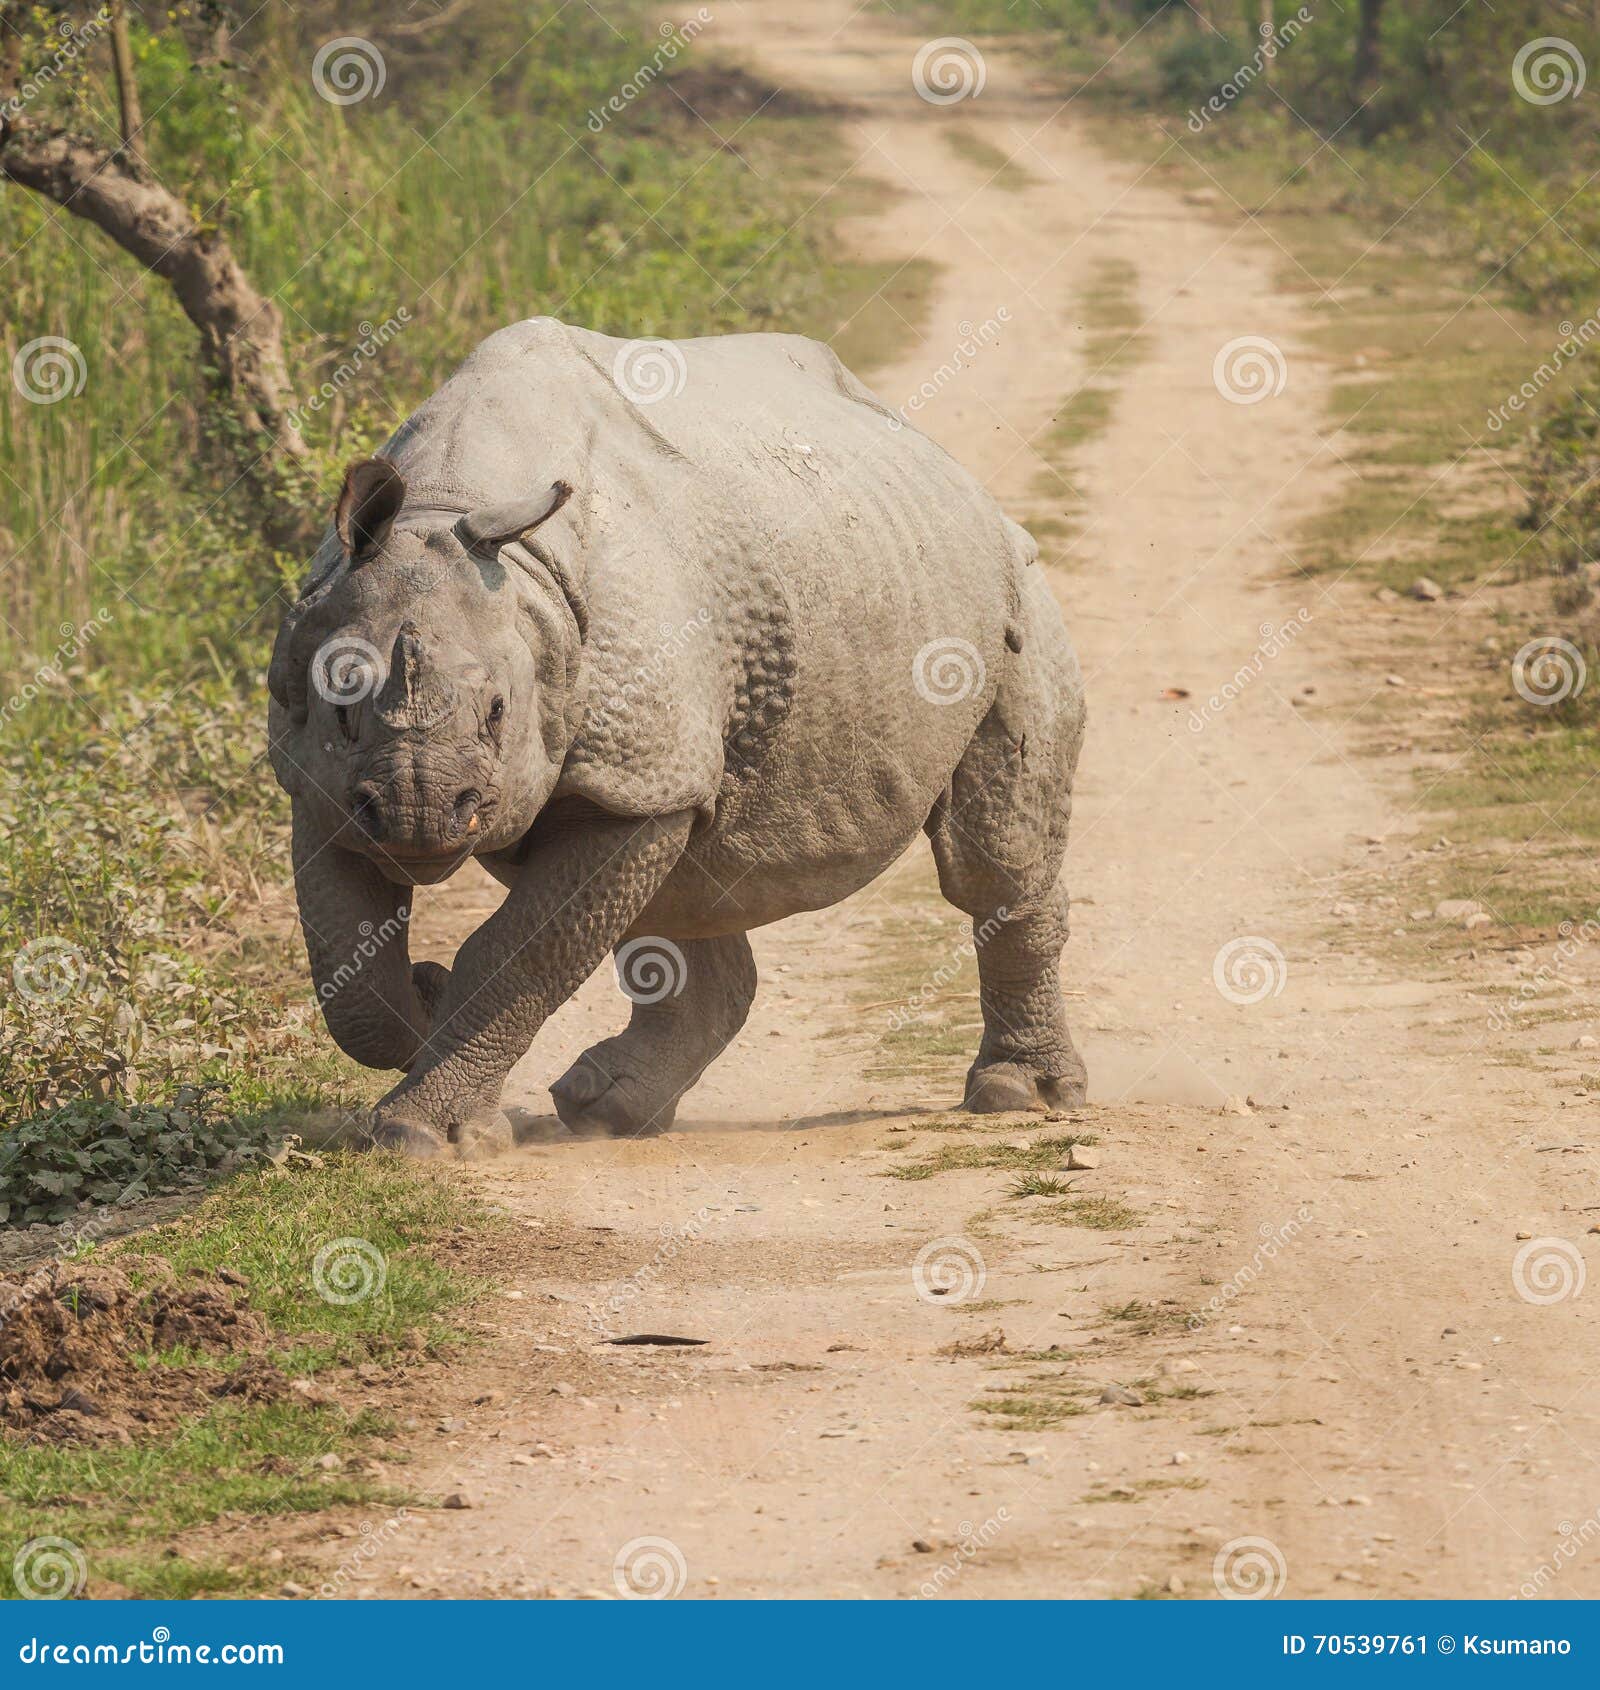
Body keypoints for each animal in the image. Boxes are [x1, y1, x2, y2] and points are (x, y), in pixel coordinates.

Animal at [268, 317, 1086, 1157]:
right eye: (341, 711)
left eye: (498, 710)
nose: (419, 815)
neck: (446, 509)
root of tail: (955, 472)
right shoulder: (318, 782)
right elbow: (349, 973)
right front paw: (423, 1003)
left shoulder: (634, 774)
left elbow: (517, 953)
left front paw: (423, 1136)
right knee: (692, 878)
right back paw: (607, 1110)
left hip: (1009, 591)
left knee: (991, 856)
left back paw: (1019, 1095)